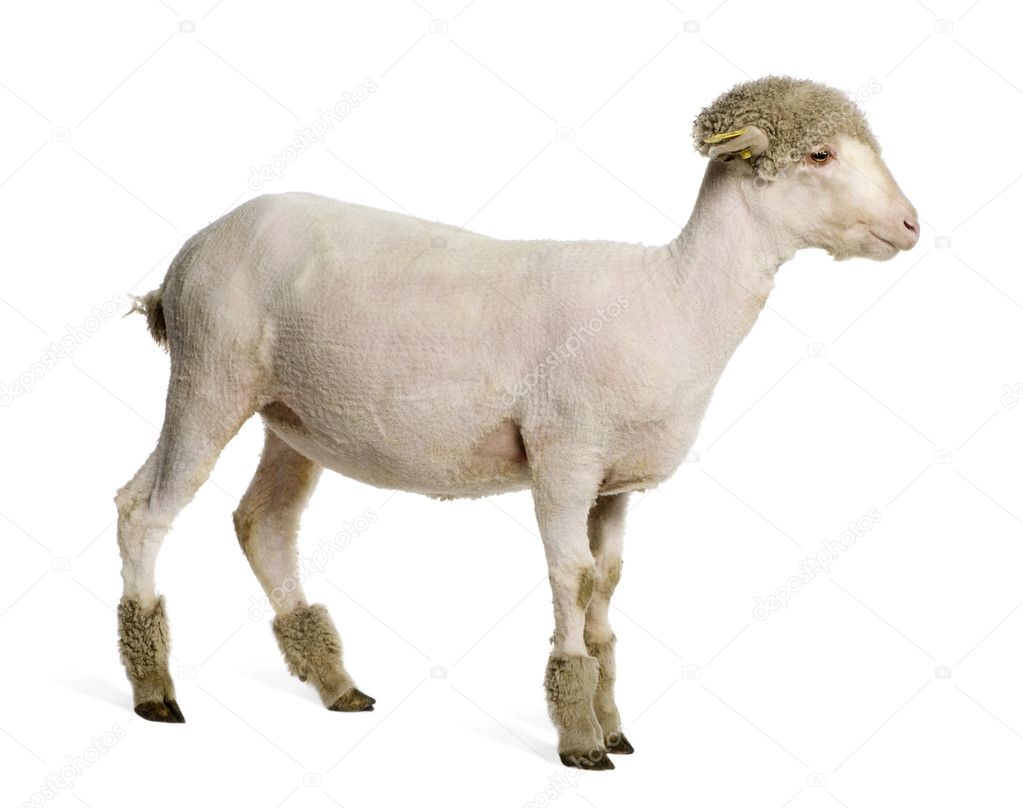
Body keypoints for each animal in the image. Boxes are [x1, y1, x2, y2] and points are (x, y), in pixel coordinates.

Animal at [115, 76, 919, 769]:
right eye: (819, 155)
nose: (911, 225)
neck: (676, 297)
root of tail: (192, 250)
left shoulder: (611, 483)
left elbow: (606, 585)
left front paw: (612, 724)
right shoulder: (564, 458)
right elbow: (571, 578)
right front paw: (581, 740)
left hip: (290, 415)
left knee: (262, 523)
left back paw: (337, 685)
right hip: (208, 378)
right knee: (143, 510)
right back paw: (154, 688)